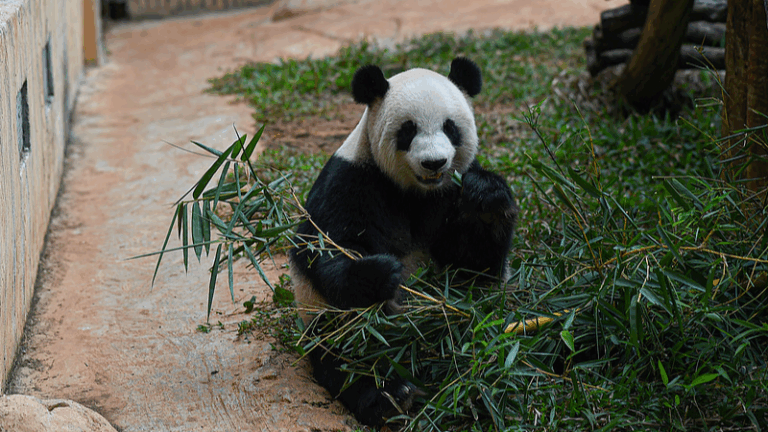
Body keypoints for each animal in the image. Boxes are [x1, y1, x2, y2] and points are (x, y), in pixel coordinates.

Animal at [289, 57, 518, 427]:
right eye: (408, 130)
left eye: (450, 128)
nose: (434, 162)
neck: (416, 191)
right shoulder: (352, 181)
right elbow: (325, 250)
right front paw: (381, 274)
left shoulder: (449, 193)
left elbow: (473, 266)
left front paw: (487, 199)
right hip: (328, 323)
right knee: (351, 350)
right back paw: (389, 395)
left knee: (481, 333)